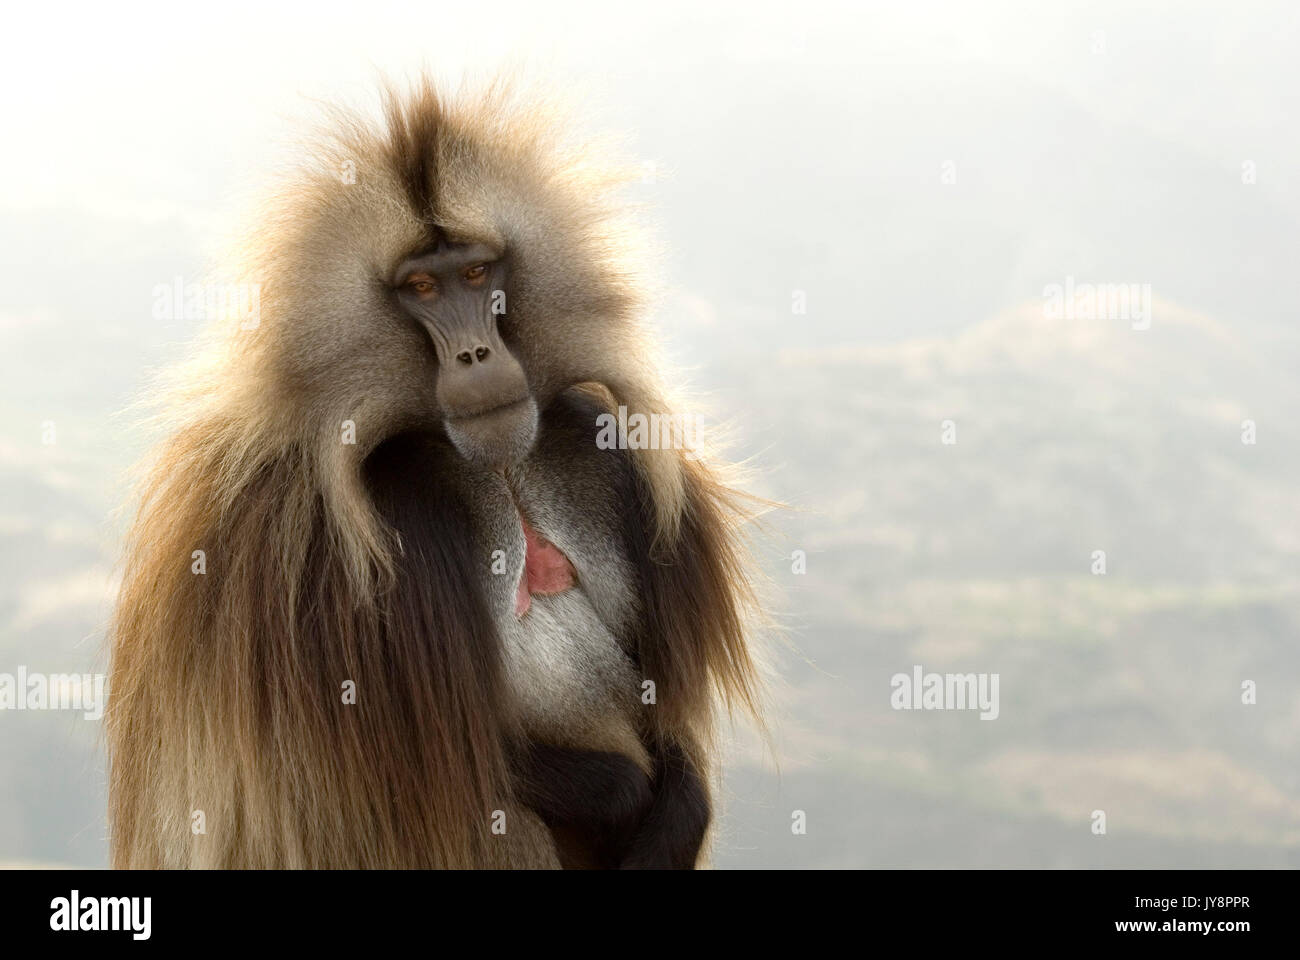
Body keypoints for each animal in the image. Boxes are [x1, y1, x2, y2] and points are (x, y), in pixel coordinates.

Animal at [106, 75, 764, 869]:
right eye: (420, 288)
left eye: (477, 273)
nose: (476, 356)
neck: (498, 472)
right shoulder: (352, 534)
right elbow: (432, 772)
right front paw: (625, 791)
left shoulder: (592, 446)